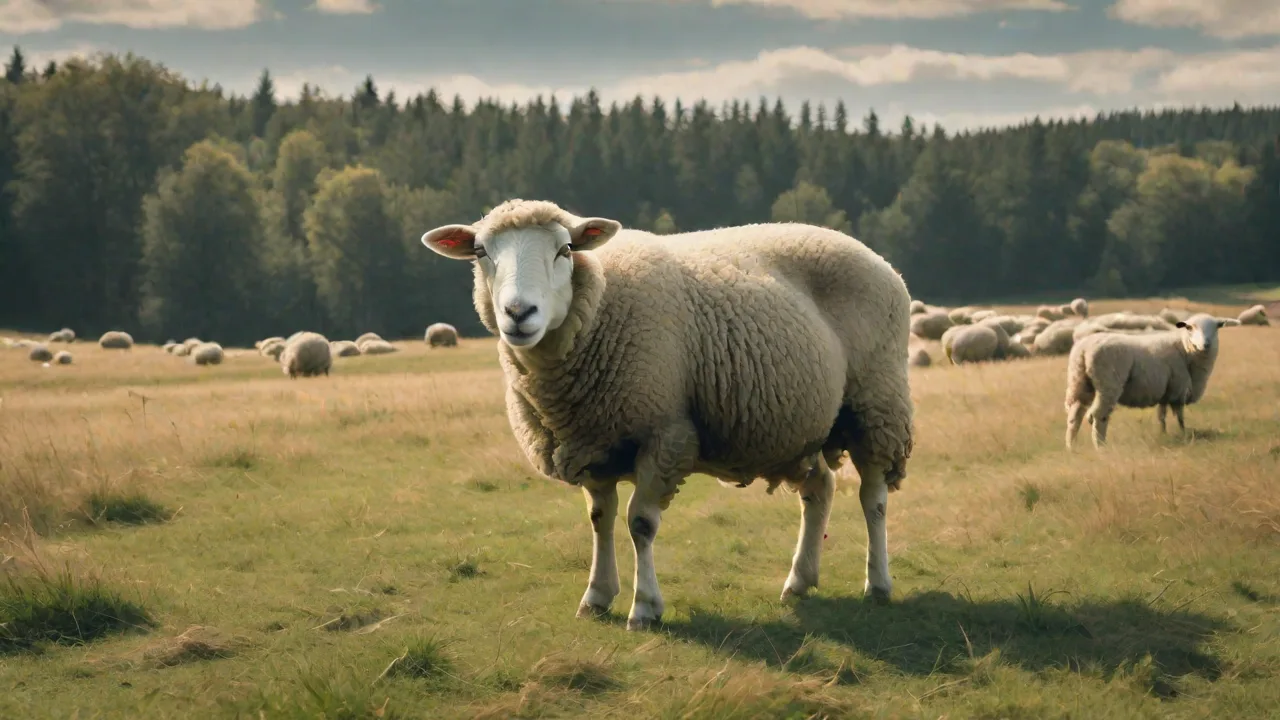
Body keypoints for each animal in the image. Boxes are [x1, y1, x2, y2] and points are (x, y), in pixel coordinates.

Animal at [420, 198, 915, 629]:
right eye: (481, 252)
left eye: (564, 250)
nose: (519, 313)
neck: (602, 307)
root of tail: (877, 258)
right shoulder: (592, 440)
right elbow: (599, 520)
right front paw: (596, 597)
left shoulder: (665, 432)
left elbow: (640, 523)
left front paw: (644, 608)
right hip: (802, 424)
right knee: (819, 490)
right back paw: (799, 581)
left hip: (877, 402)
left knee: (873, 498)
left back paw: (878, 584)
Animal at [1065, 313, 1239, 450]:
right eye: (1189, 328)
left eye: (1216, 327)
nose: (1205, 344)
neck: (1184, 348)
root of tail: (1083, 350)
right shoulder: (1178, 390)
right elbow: (1180, 417)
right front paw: (1184, 433)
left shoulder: (1166, 392)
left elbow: (1161, 416)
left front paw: (1164, 434)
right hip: (1108, 385)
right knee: (1098, 415)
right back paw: (1100, 447)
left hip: (1079, 383)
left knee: (1075, 415)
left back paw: (1071, 447)